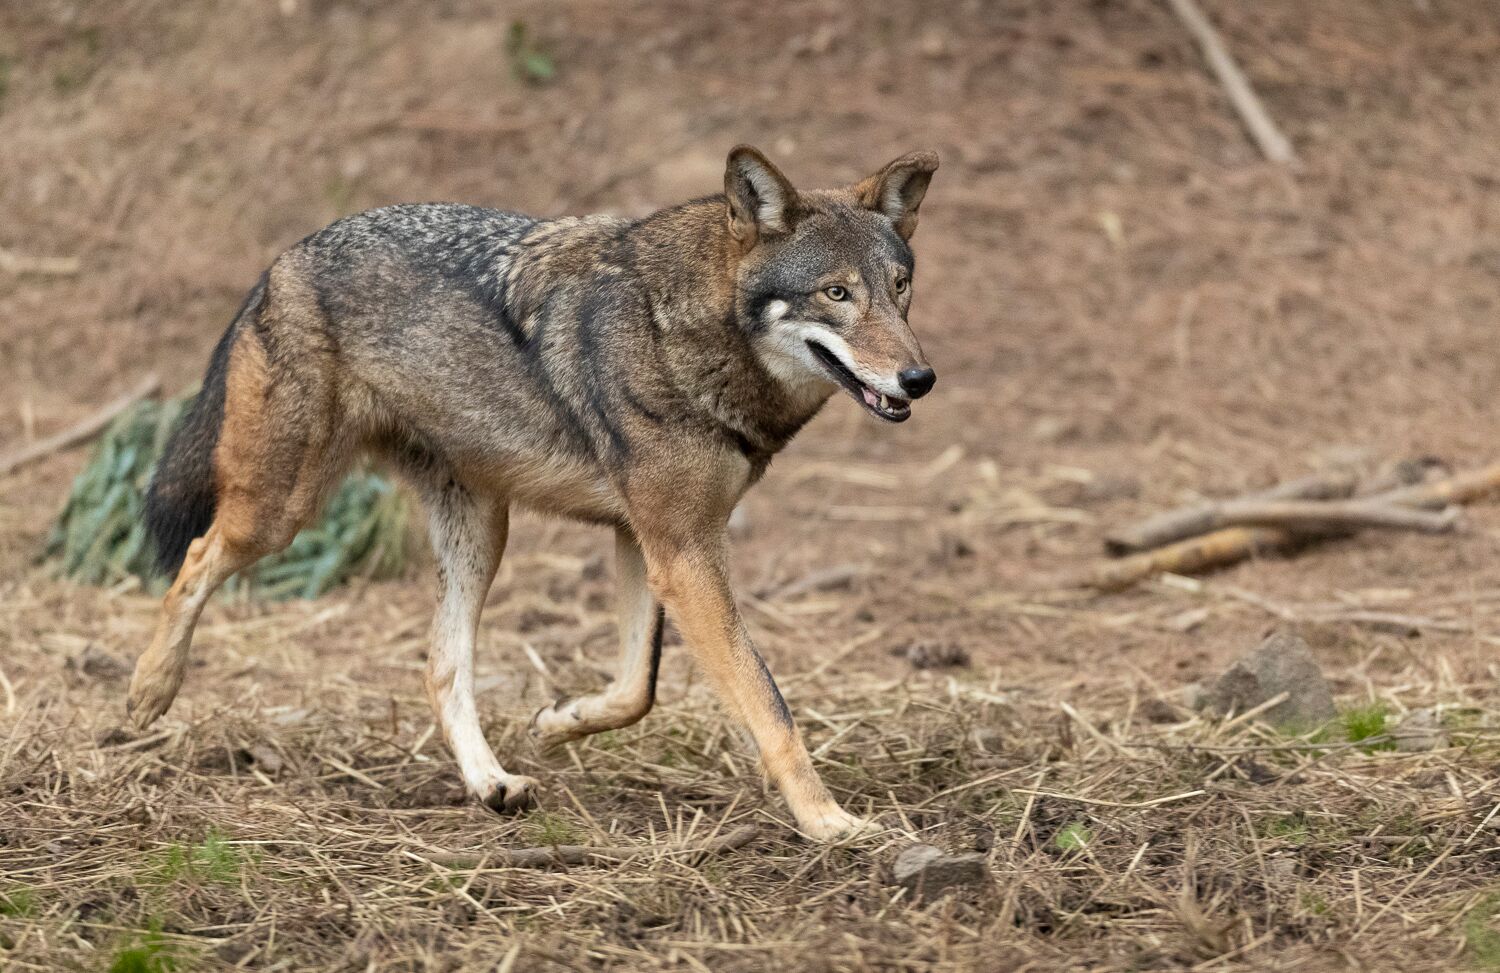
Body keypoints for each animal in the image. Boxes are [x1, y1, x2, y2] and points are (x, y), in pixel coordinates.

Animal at [126, 145, 939, 841]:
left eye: (900, 290)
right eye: (837, 293)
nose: (920, 379)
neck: (679, 329)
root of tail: (286, 257)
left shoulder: (649, 542)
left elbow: (636, 687)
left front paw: (558, 719)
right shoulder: (681, 551)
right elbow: (767, 704)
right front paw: (830, 822)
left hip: (482, 535)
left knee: (440, 665)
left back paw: (492, 783)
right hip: (282, 511)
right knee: (194, 559)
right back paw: (148, 692)